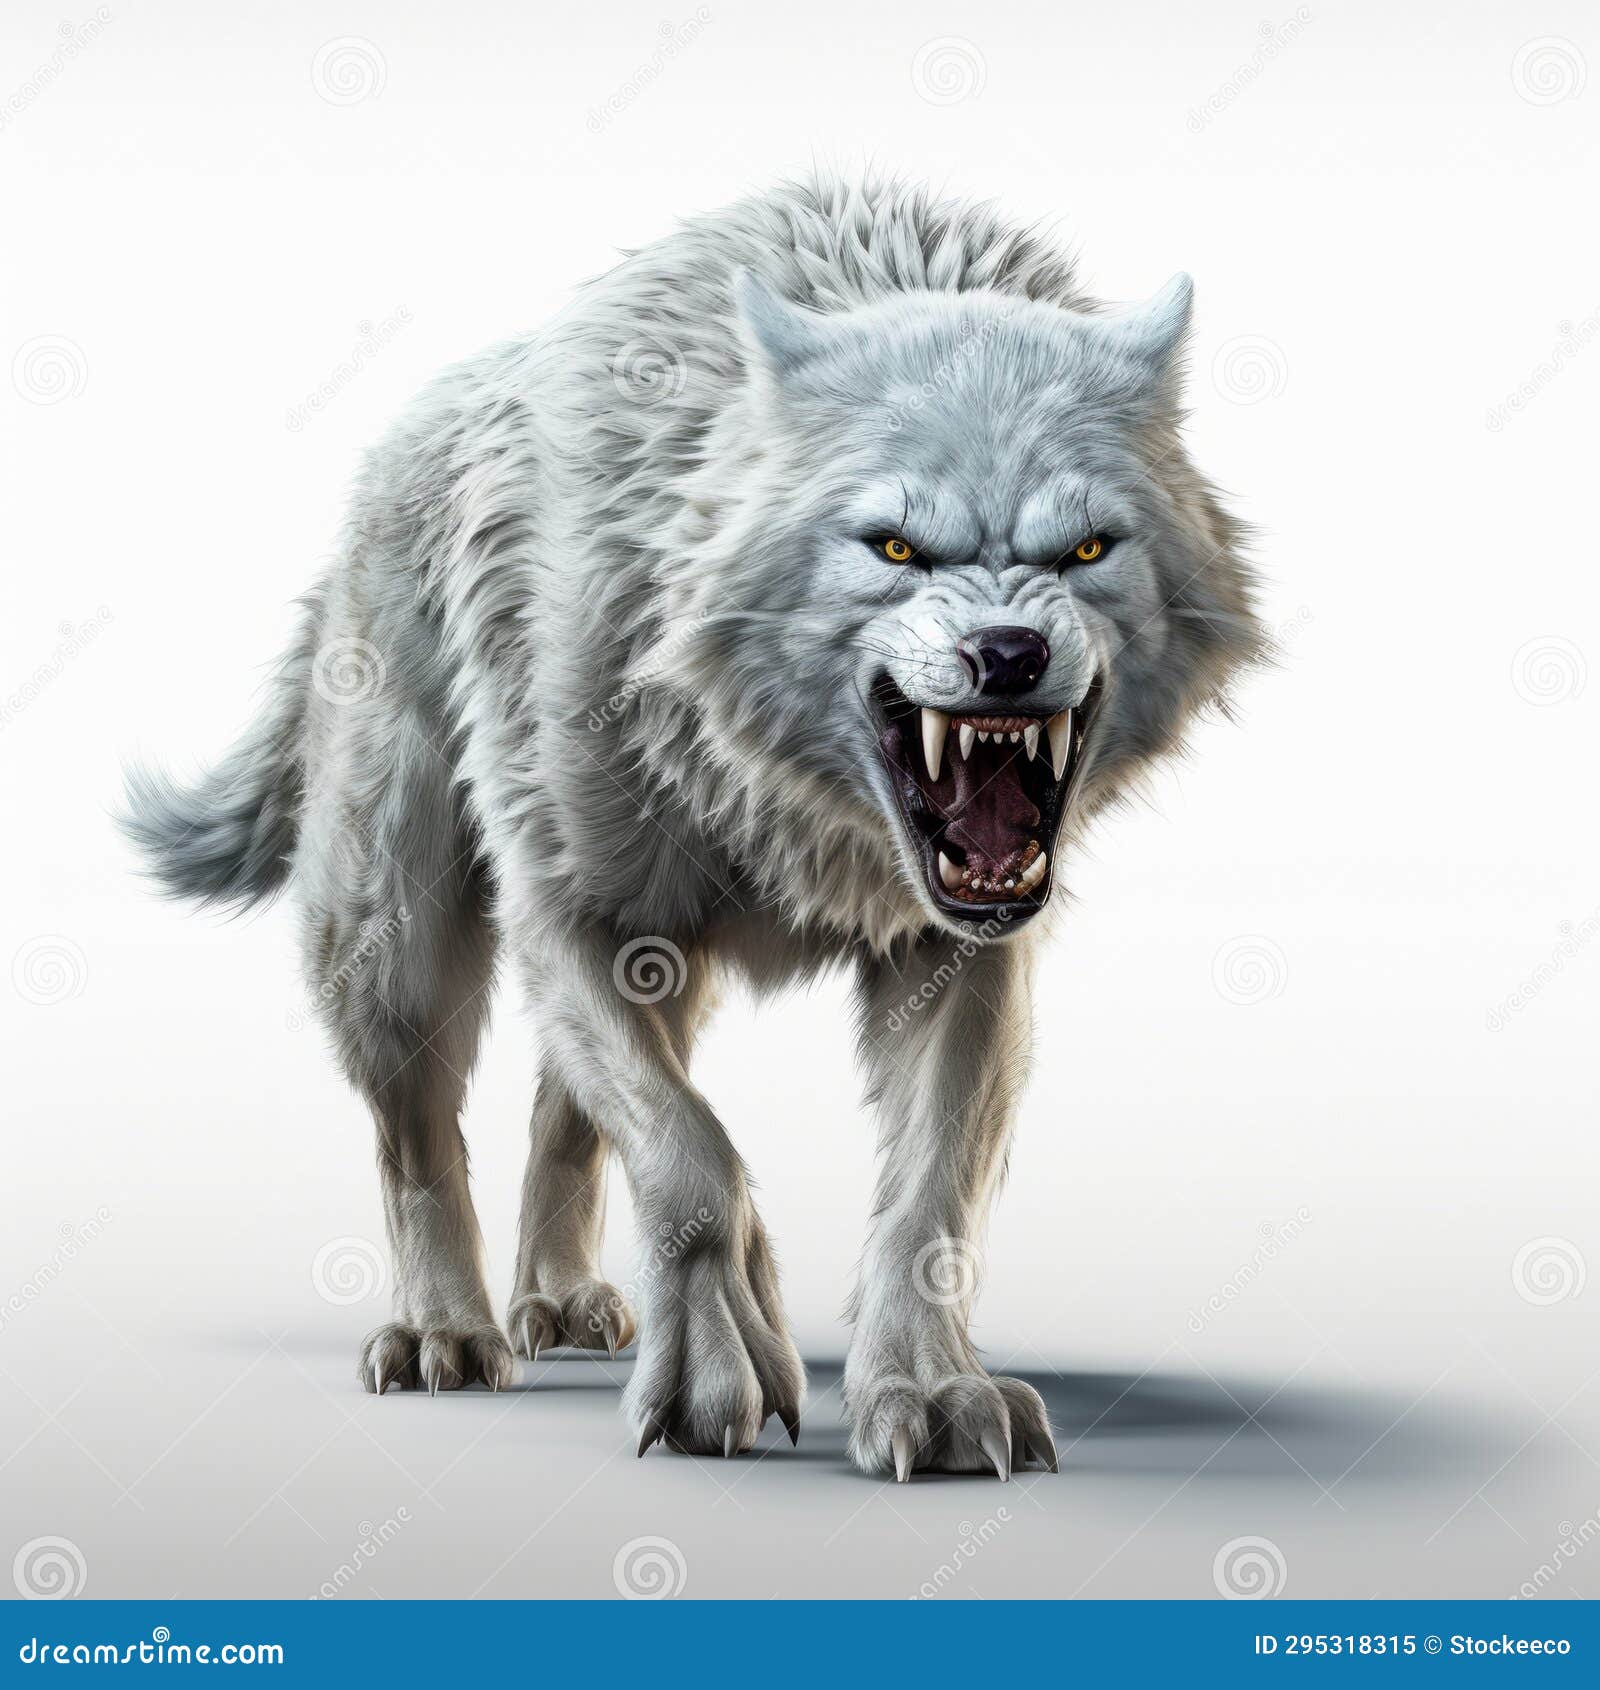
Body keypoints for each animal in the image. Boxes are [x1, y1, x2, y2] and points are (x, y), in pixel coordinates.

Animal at [121, 174, 1261, 1479]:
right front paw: (717, 1377)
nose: (1010, 654)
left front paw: (927, 1392)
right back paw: (444, 1332)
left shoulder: (957, 955)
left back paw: (561, 1304)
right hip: (395, 932)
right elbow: (691, 1163)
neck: (779, 788)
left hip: (666, 963)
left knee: (559, 1109)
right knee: (417, 1131)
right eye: (894, 546)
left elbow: (928, 1199)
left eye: (1083, 549)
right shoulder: (569, 910)